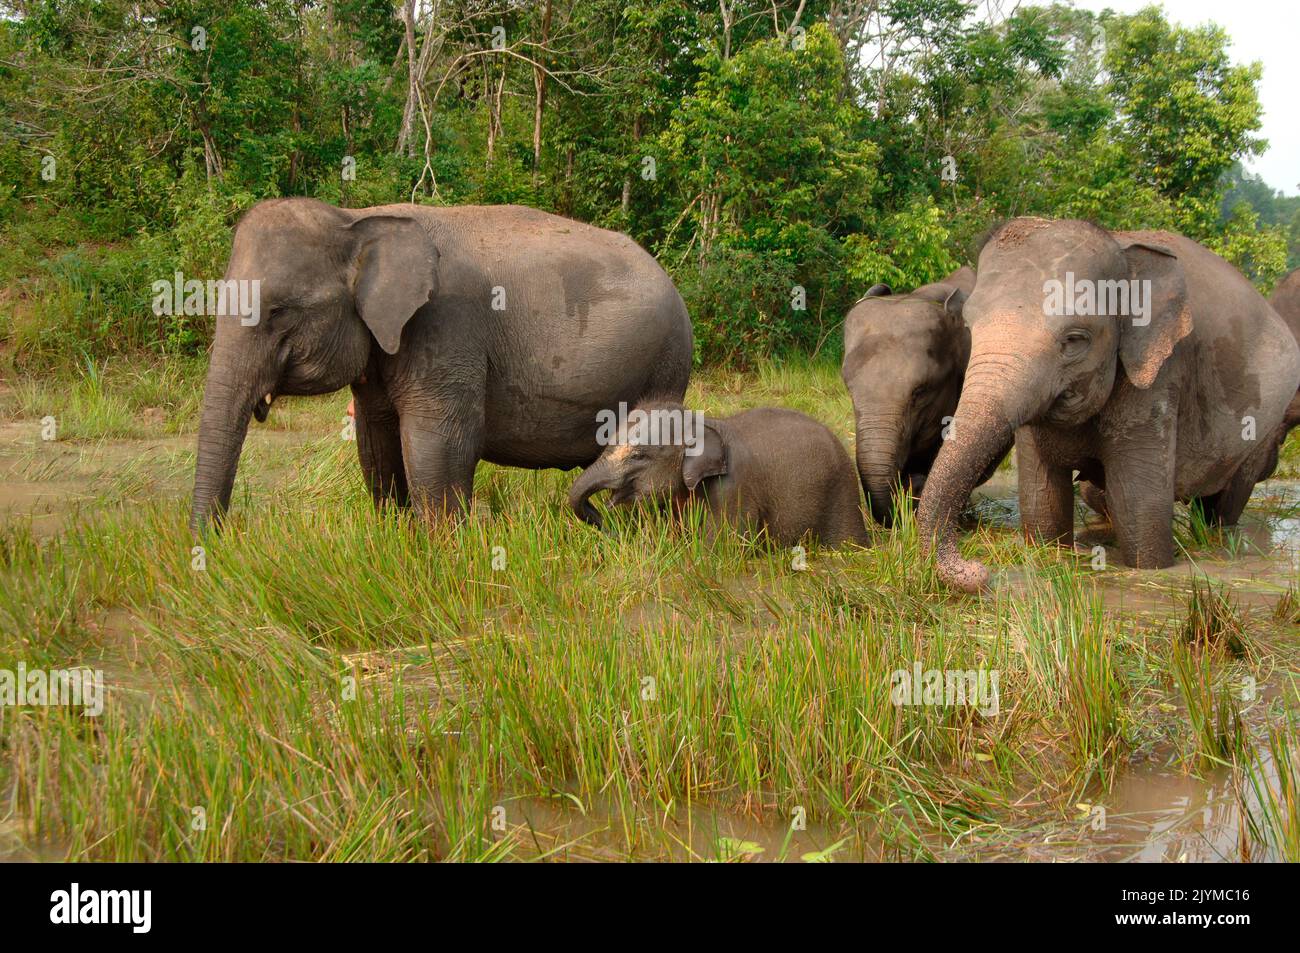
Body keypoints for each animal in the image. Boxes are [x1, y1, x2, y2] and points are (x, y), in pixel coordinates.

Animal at [190, 199, 693, 532]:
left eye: (279, 311)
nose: (215, 545)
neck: (357, 218)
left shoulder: (447, 327)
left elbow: (439, 440)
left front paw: (442, 550)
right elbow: (376, 439)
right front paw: (393, 536)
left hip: (666, 365)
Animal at [568, 401, 869, 547]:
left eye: (638, 455)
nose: (612, 531)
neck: (703, 422)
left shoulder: (733, 488)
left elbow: (721, 548)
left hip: (841, 496)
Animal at [918, 217, 1300, 593]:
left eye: (1074, 340)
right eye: (969, 326)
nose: (978, 570)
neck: (1120, 247)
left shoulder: (1160, 374)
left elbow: (1137, 504)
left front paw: (1150, 569)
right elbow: (1042, 500)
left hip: (1263, 427)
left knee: (1224, 504)